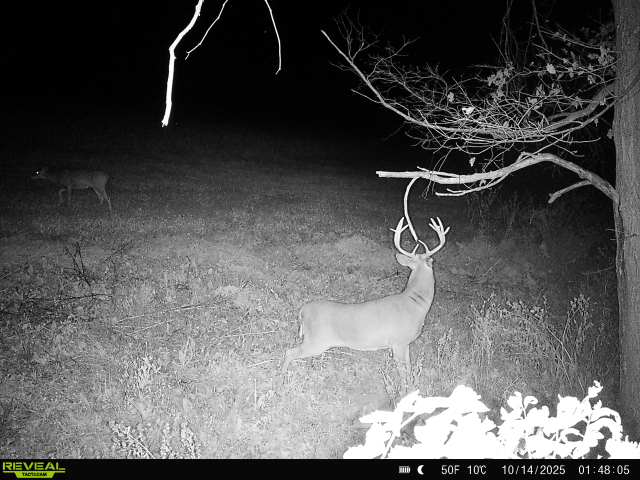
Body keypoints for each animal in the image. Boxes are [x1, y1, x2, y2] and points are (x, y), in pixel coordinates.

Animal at [282, 178, 449, 385]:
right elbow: (404, 372)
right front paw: (407, 388)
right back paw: (281, 379)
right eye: (431, 261)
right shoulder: (399, 341)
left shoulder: (403, 344)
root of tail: (302, 311)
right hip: (317, 340)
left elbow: (408, 369)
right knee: (289, 352)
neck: (415, 303)